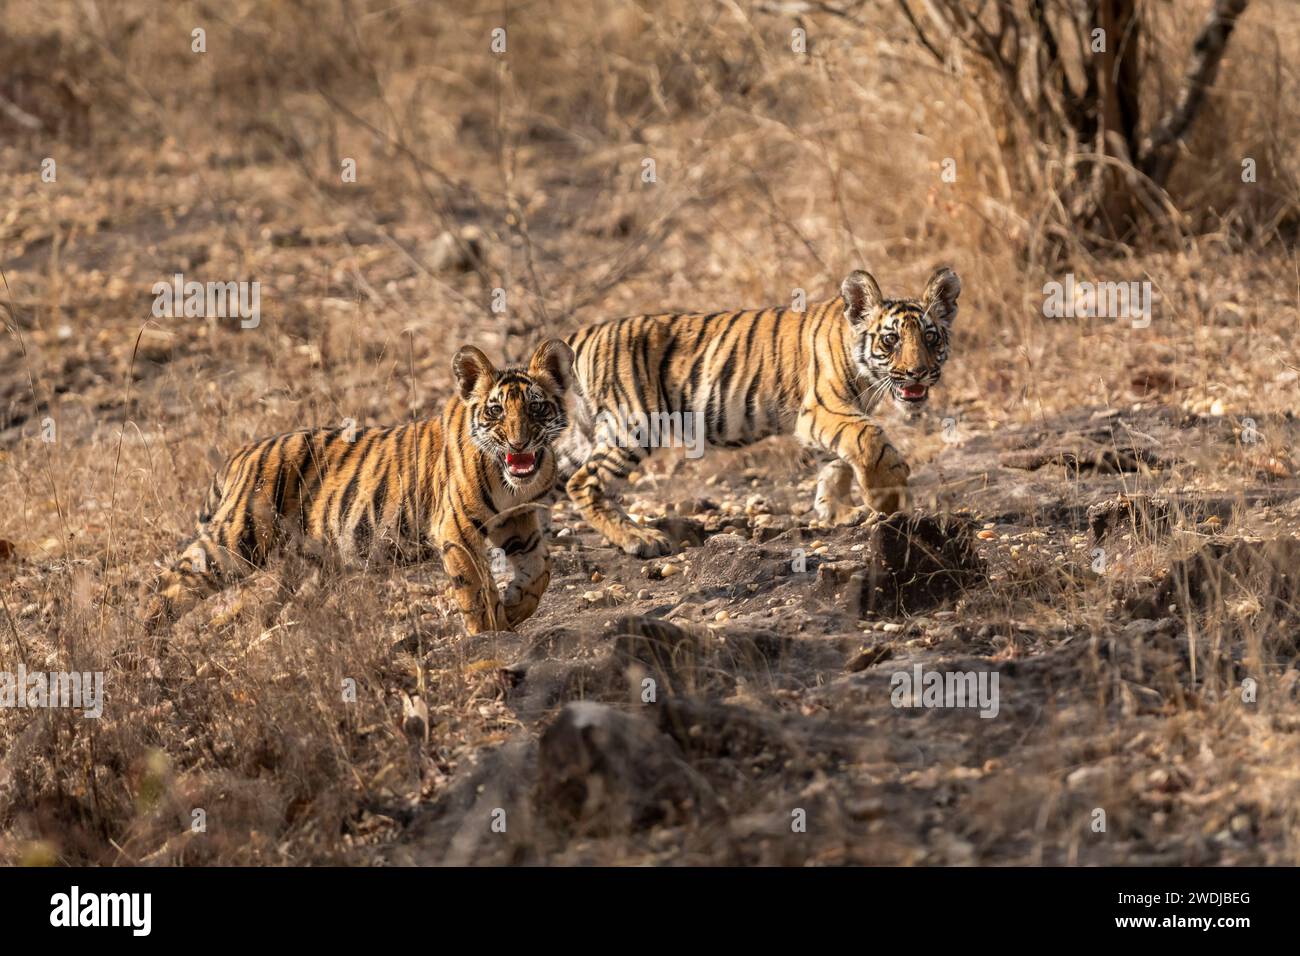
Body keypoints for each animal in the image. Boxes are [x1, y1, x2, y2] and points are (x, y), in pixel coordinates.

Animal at [143, 338, 575, 635]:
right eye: (495, 410)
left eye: (536, 407)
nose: (518, 443)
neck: (513, 484)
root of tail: (240, 454)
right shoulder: (456, 528)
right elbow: (474, 587)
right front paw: (489, 633)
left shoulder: (518, 520)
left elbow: (540, 570)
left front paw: (513, 608)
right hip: (238, 540)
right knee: (168, 581)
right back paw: (147, 643)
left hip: (306, 563)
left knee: (264, 608)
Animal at [556, 267, 961, 557]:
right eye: (891, 340)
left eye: (930, 338)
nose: (917, 372)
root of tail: (584, 333)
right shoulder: (822, 408)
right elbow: (869, 438)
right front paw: (886, 496)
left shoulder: (829, 417)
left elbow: (837, 463)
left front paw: (839, 511)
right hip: (634, 424)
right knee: (585, 482)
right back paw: (639, 538)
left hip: (579, 436)